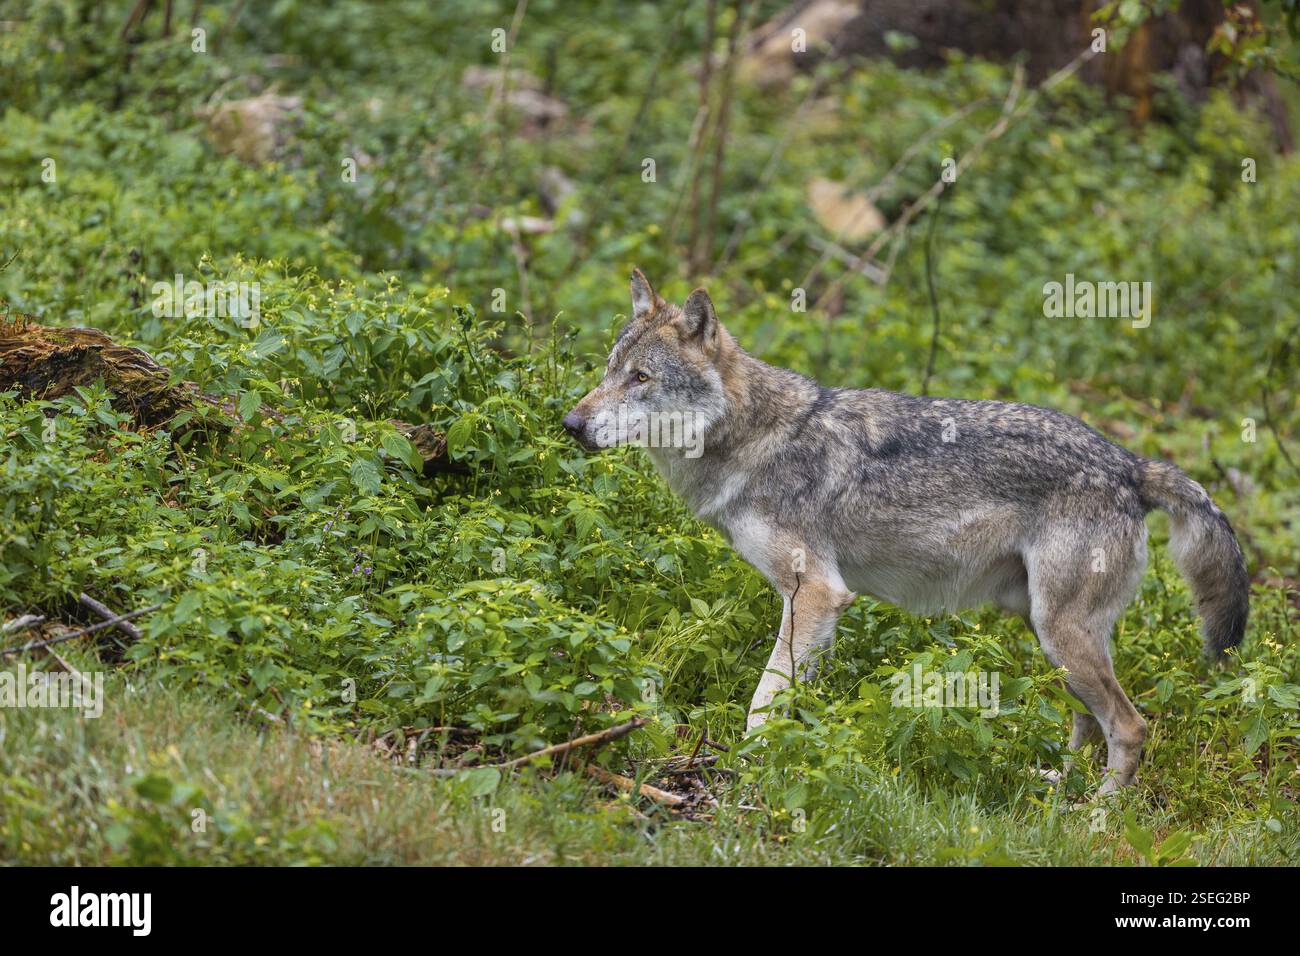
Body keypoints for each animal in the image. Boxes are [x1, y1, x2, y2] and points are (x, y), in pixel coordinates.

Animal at [563, 269, 1250, 793]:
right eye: (608, 369)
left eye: (641, 378)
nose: (571, 424)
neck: (755, 439)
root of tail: (1130, 463)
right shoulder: (814, 607)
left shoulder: (817, 594)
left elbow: (762, 705)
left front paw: (747, 772)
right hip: (1049, 635)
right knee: (1088, 726)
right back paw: (1059, 789)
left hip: (1062, 636)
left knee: (1130, 727)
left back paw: (1099, 818)